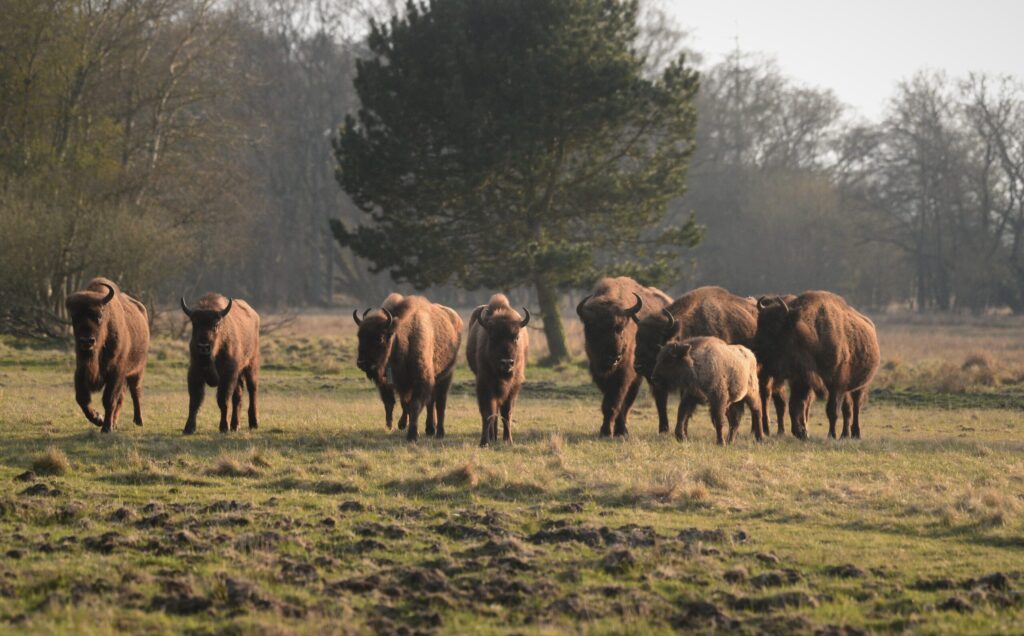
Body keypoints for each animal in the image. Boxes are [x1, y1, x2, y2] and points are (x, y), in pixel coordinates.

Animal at [66, 278, 150, 433]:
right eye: (74, 316)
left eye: (99, 315)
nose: (87, 341)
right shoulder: (80, 370)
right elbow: (82, 398)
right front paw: (98, 419)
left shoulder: (116, 372)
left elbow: (109, 399)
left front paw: (105, 427)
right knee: (122, 399)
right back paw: (114, 423)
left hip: (137, 371)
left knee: (136, 393)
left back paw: (138, 421)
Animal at [181, 294, 260, 435]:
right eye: (194, 323)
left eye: (216, 324)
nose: (203, 347)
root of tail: (255, 315)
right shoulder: (195, 372)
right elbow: (195, 401)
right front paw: (188, 428)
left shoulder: (227, 375)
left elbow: (223, 400)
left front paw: (223, 427)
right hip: (238, 375)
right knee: (238, 396)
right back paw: (235, 425)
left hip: (251, 366)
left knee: (252, 390)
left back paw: (253, 423)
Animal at [355, 295, 463, 441]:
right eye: (359, 336)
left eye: (380, 338)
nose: (361, 362)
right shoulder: (396, 383)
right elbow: (400, 403)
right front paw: (399, 426)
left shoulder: (421, 380)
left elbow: (414, 405)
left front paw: (412, 435)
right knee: (430, 402)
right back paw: (430, 428)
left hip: (445, 376)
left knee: (440, 403)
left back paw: (439, 432)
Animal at [467, 294, 530, 446]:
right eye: (493, 337)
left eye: (516, 337)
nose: (507, 363)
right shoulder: (485, 385)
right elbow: (488, 413)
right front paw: (484, 442)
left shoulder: (513, 387)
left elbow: (507, 413)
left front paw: (508, 440)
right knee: (493, 412)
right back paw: (492, 437)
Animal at [576, 276, 671, 437]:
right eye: (596, 328)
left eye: (620, 328)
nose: (614, 356)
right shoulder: (600, 375)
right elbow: (612, 404)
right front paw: (611, 430)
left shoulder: (623, 376)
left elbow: (614, 403)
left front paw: (610, 431)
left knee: (659, 397)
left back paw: (663, 429)